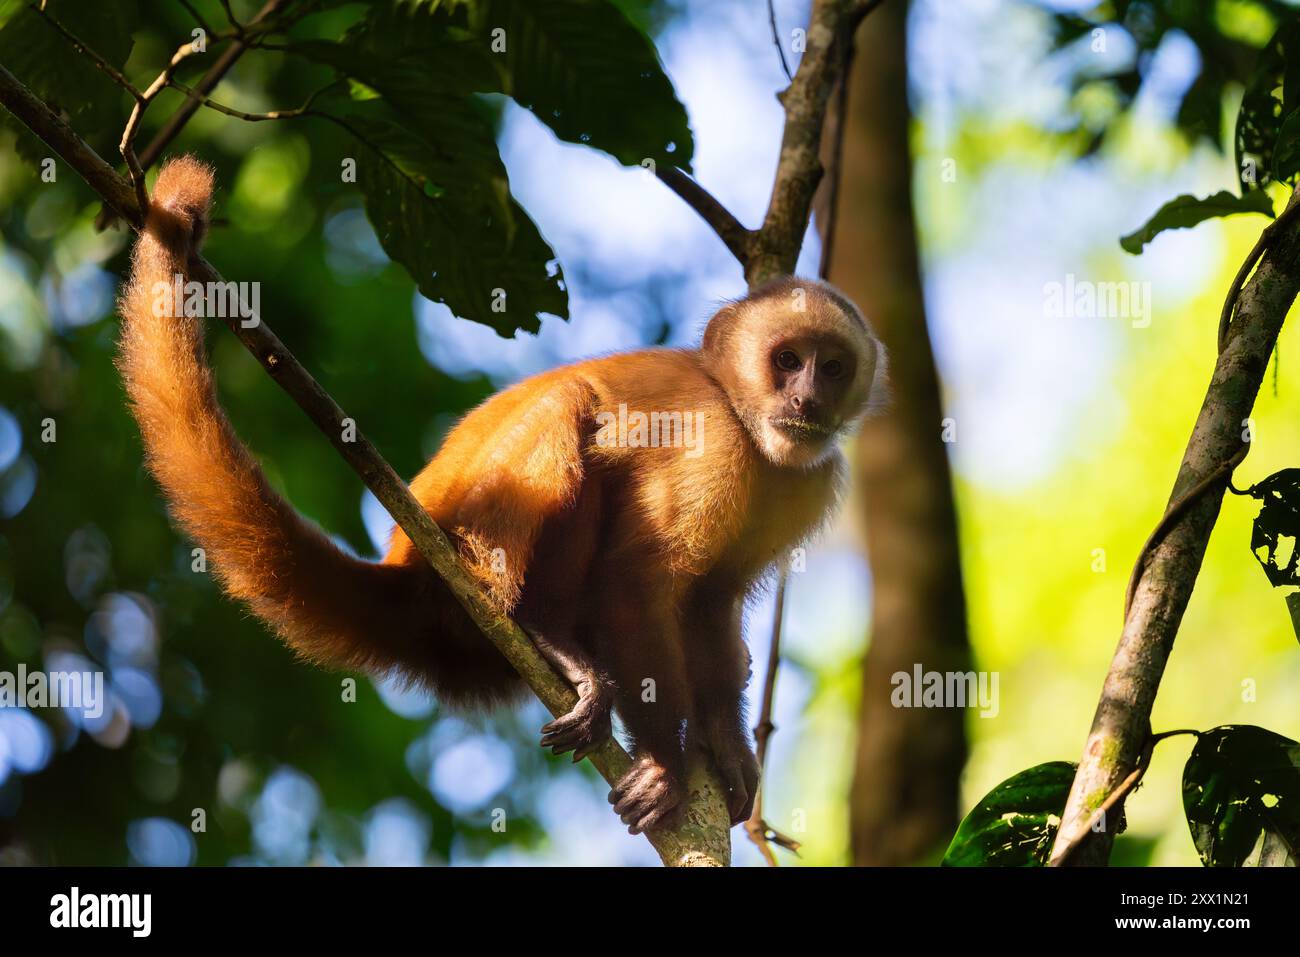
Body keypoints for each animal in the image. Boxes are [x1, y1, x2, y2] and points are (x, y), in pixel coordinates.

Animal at [117, 157, 887, 835]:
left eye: (832, 367)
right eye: (786, 360)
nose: (806, 397)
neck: (749, 428)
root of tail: (405, 572)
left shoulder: (808, 480)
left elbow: (710, 601)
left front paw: (728, 750)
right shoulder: (715, 444)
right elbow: (639, 581)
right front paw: (668, 765)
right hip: (459, 542)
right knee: (569, 415)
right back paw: (543, 629)